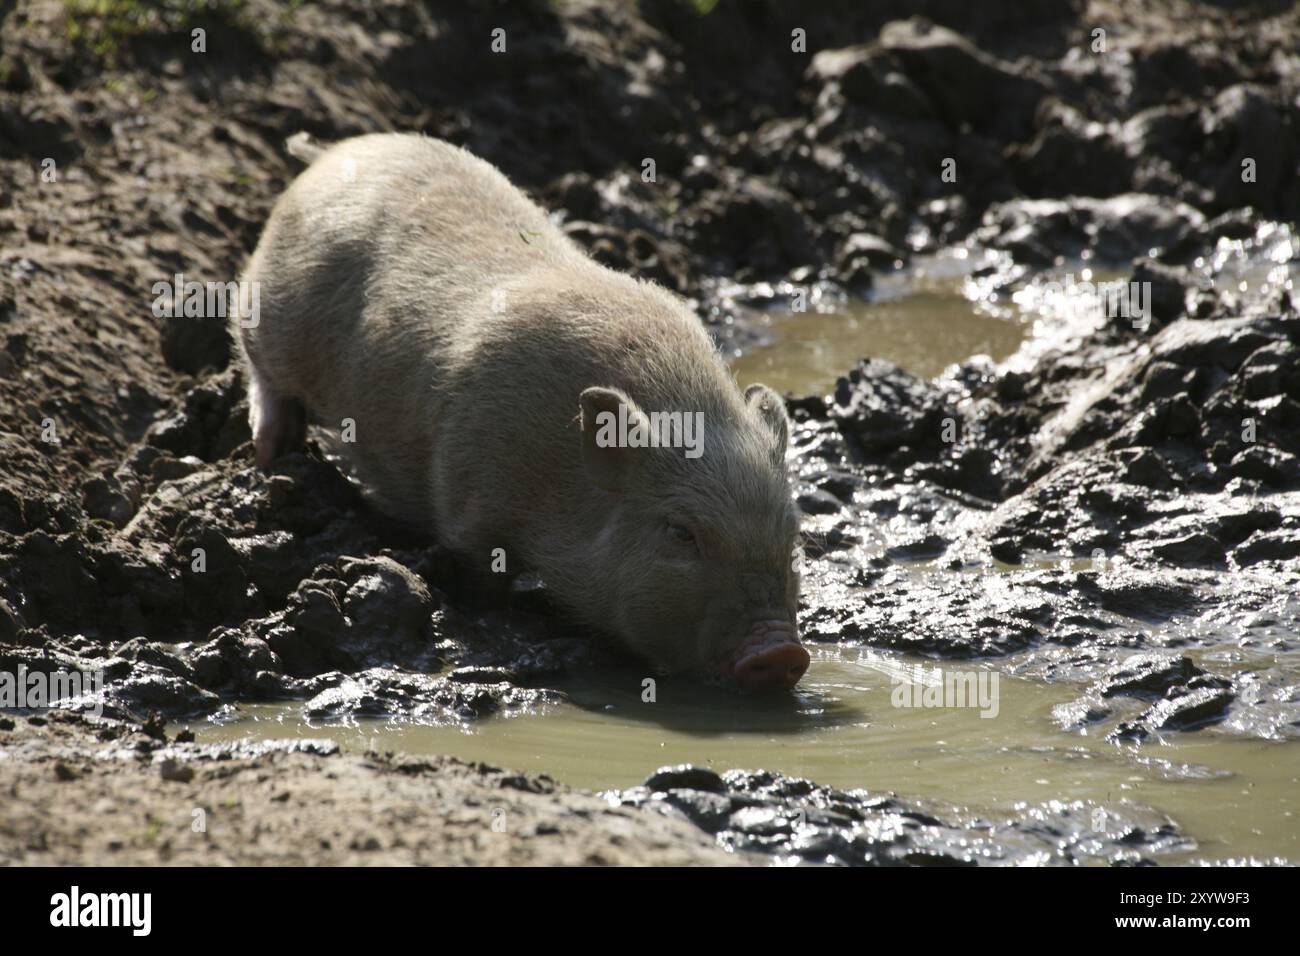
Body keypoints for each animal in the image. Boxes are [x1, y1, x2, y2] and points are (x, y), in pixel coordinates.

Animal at [231, 132, 808, 691]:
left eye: (791, 536)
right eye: (681, 533)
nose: (782, 652)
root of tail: (332, 153)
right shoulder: (469, 503)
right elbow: (480, 568)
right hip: (273, 308)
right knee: (257, 358)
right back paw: (271, 450)